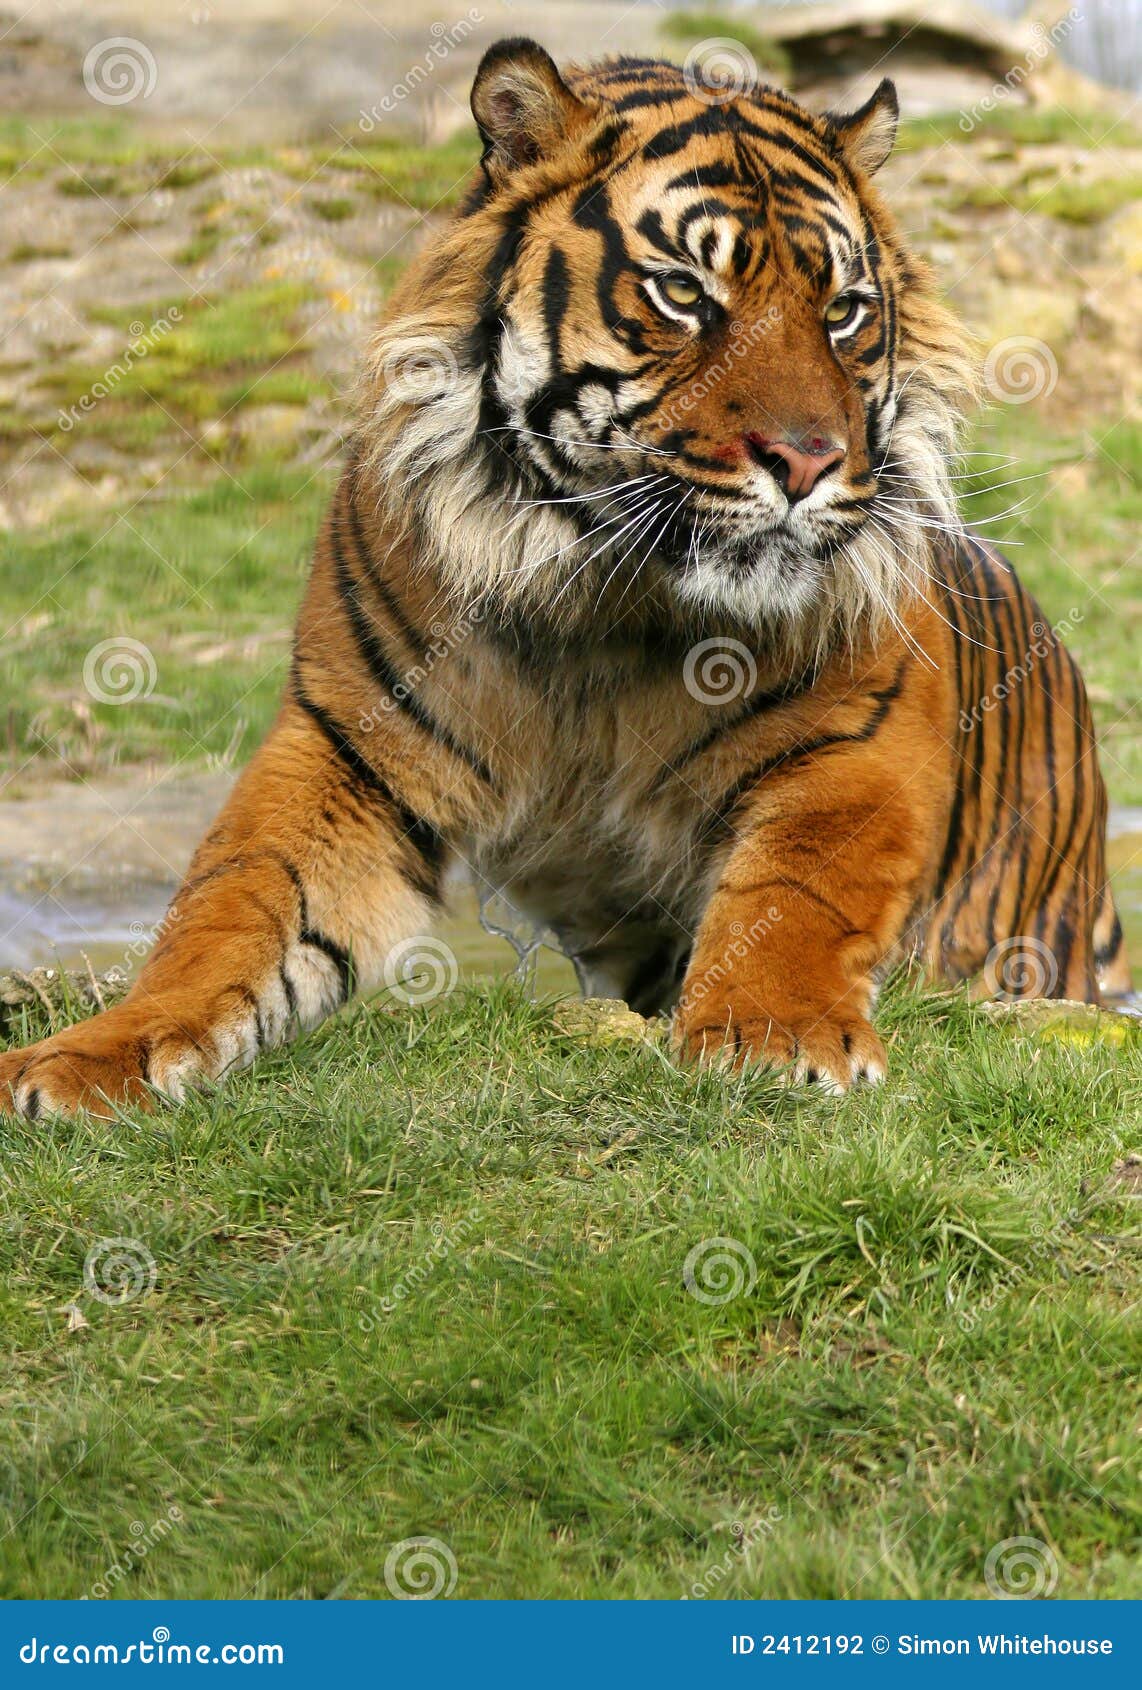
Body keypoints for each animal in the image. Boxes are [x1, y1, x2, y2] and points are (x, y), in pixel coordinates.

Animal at [0, 38, 1131, 1120]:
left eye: (844, 309)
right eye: (684, 293)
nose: (807, 460)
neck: (607, 595)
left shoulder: (855, 742)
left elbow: (791, 900)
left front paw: (775, 1035)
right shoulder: (345, 748)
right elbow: (229, 903)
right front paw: (90, 1058)